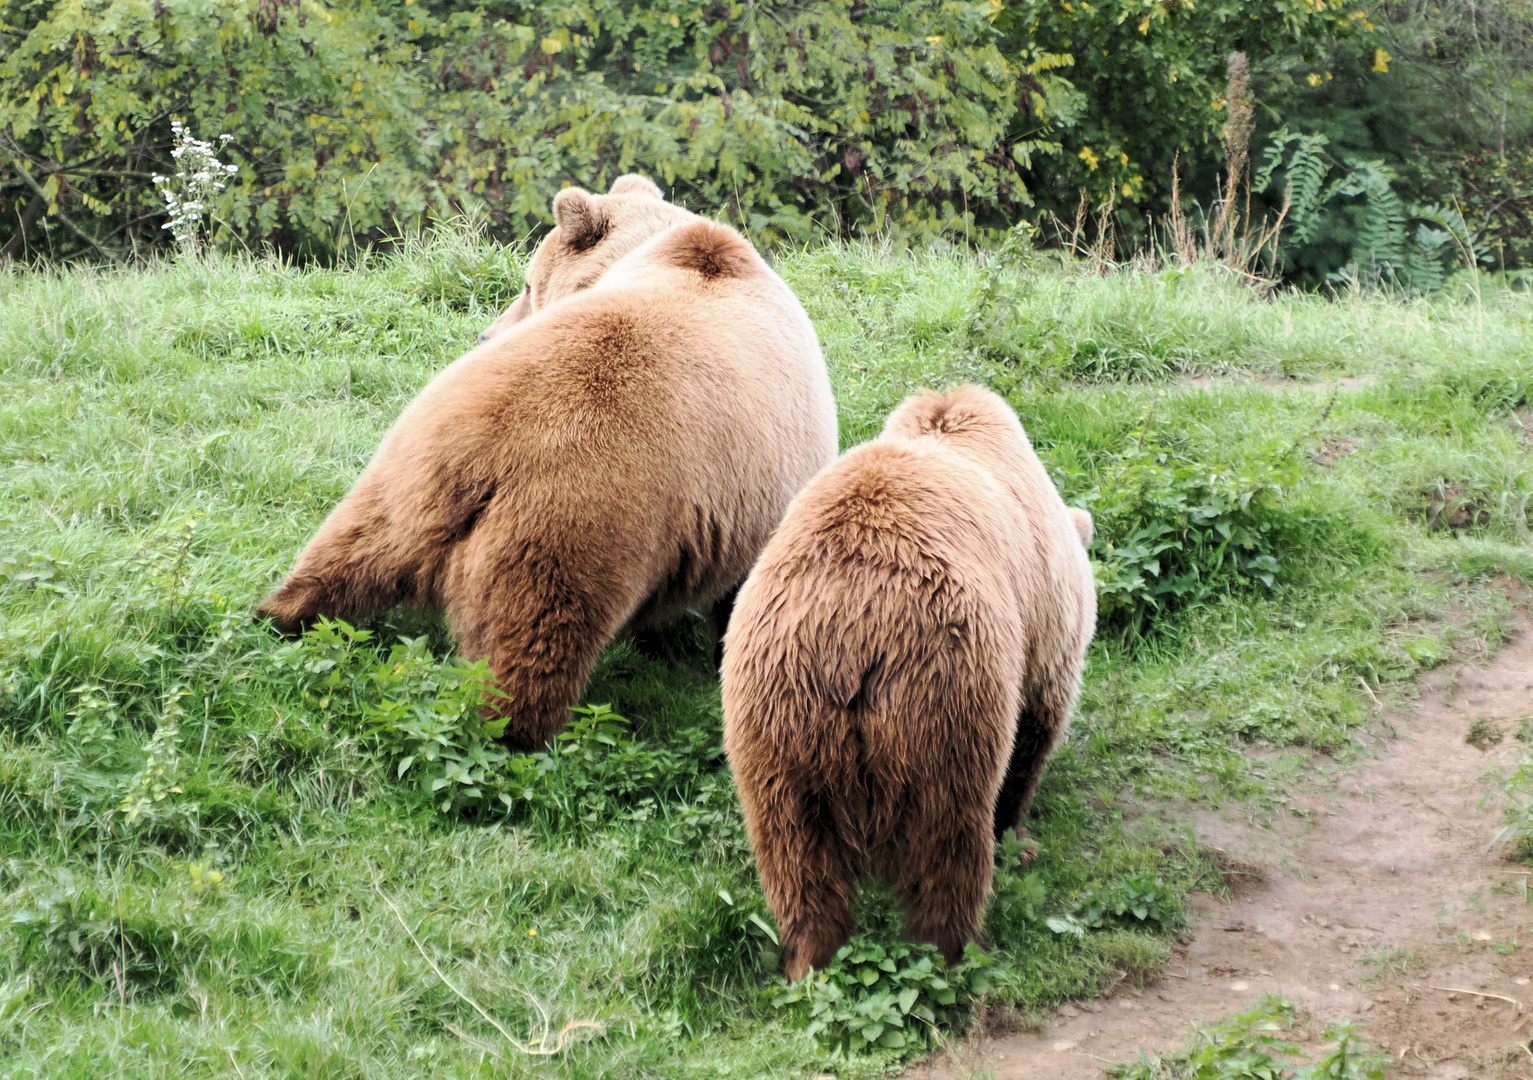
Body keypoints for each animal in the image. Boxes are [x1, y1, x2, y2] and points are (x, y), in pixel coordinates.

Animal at [259, 175, 839, 751]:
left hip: (411, 468)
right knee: (536, 645)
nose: (485, 334)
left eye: (524, 285)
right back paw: (515, 735)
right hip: (574, 526)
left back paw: (284, 617)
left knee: (344, 553)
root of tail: (487, 456)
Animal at [720, 384, 1096, 981]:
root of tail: (849, 628)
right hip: (944, 692)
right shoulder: (1043, 628)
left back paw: (807, 960)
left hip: (776, 711)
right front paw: (1021, 836)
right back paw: (955, 950)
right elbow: (1035, 732)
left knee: (796, 854)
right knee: (948, 838)